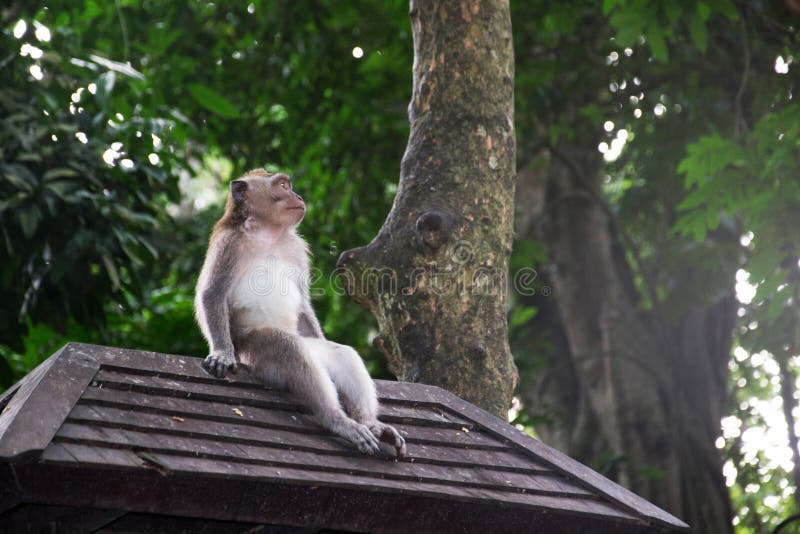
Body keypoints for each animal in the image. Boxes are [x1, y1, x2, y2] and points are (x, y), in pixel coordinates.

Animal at [194, 169, 406, 458]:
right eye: (282, 185)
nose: (298, 196)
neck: (268, 234)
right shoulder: (230, 243)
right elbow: (212, 293)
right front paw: (222, 354)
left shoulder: (296, 248)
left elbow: (304, 304)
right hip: (254, 353)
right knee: (290, 348)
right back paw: (337, 419)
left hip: (313, 347)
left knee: (341, 354)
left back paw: (370, 423)